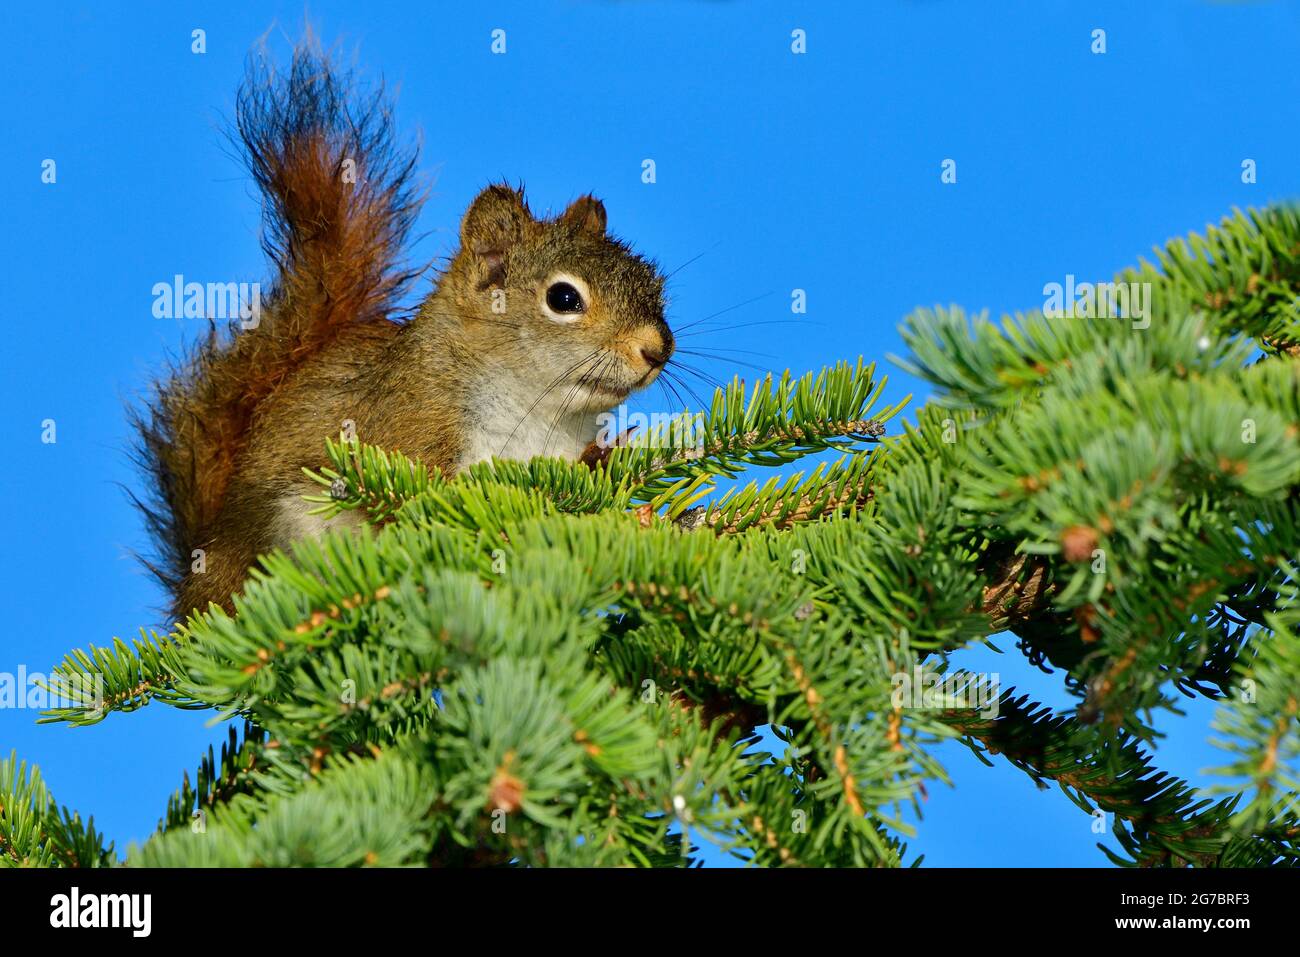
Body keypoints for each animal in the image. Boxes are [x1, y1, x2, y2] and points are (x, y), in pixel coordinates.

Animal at [134, 43, 674, 623]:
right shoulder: (405, 429)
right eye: (564, 299)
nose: (657, 350)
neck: (542, 414)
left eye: (654, 285)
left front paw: (603, 460)